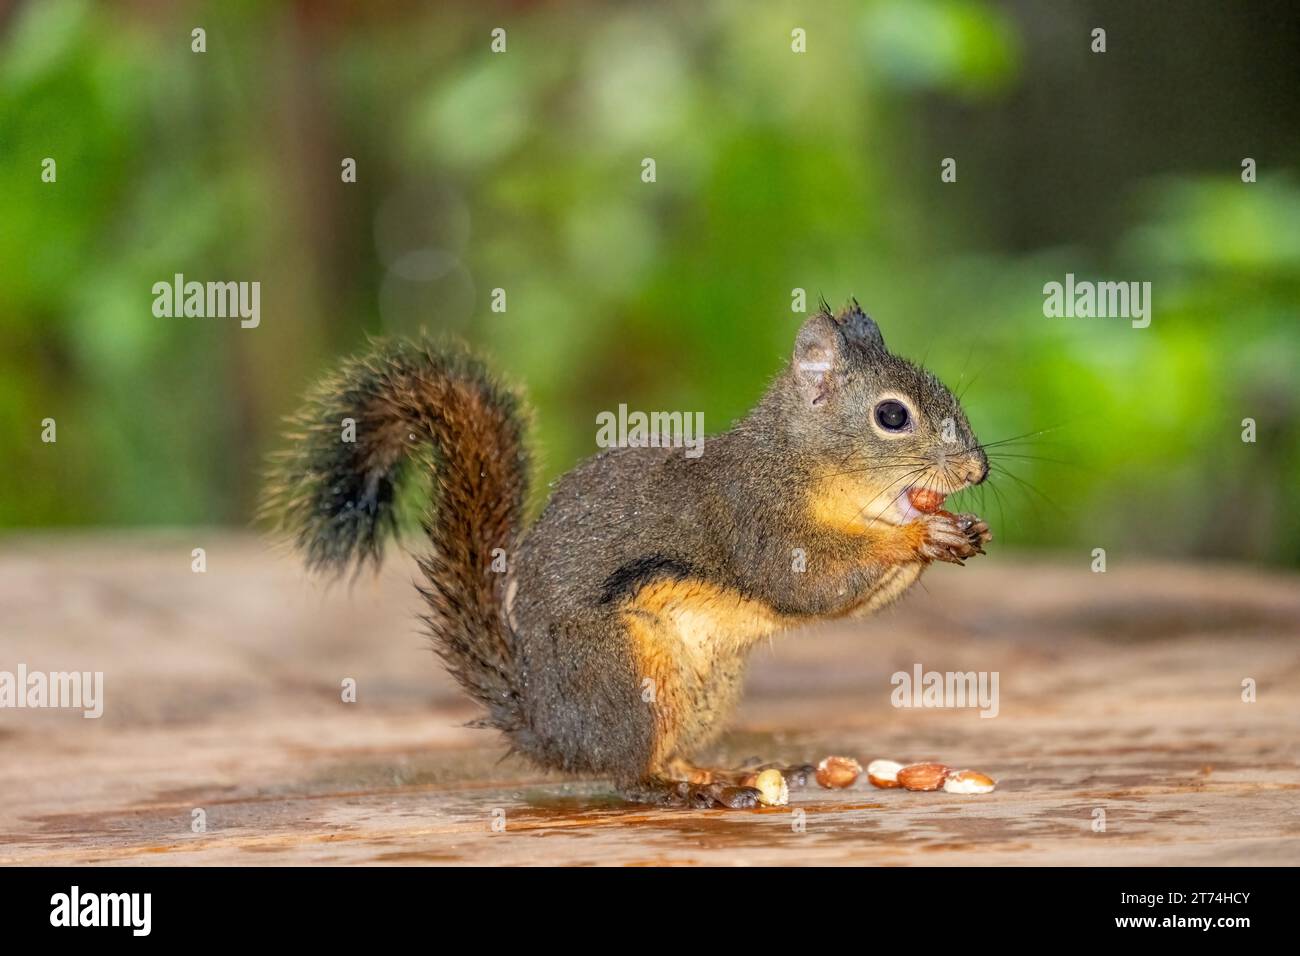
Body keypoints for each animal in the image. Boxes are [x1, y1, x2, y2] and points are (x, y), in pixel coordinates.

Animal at [263, 301, 991, 809]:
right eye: (892, 417)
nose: (978, 470)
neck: (799, 464)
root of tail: (547, 726)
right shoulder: (754, 523)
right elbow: (809, 584)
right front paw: (920, 537)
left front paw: (960, 531)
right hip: (628, 671)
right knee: (631, 777)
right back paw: (690, 792)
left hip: (704, 690)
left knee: (662, 757)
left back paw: (719, 772)